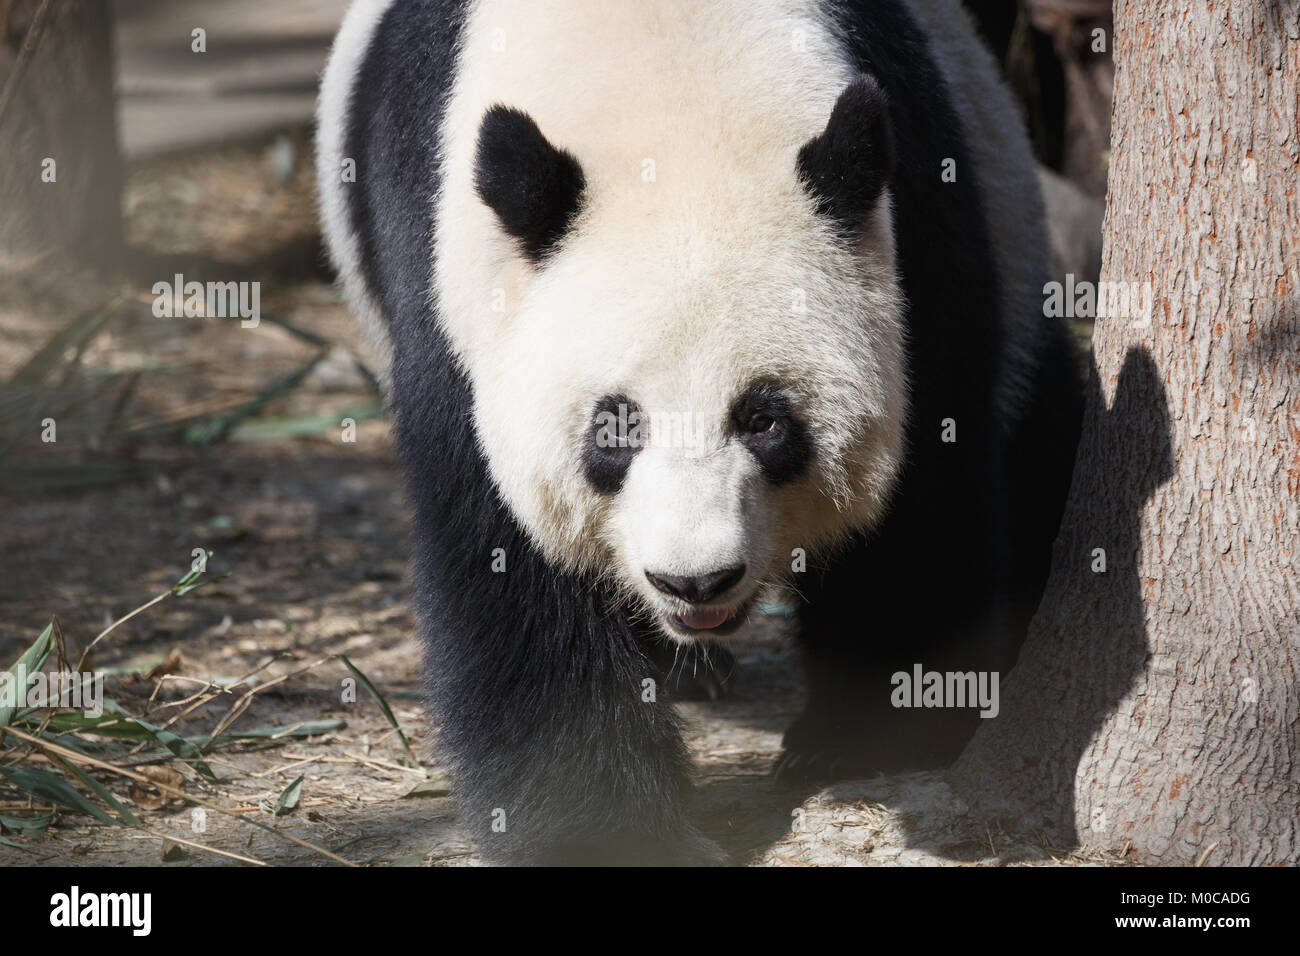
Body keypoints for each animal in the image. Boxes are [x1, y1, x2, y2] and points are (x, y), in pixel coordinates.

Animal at [317, 0, 1083, 864]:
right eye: (615, 428)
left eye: (764, 420)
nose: (696, 582)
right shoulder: (455, 283)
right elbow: (507, 563)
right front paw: (611, 832)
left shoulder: (919, 228)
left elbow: (922, 501)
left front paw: (861, 738)